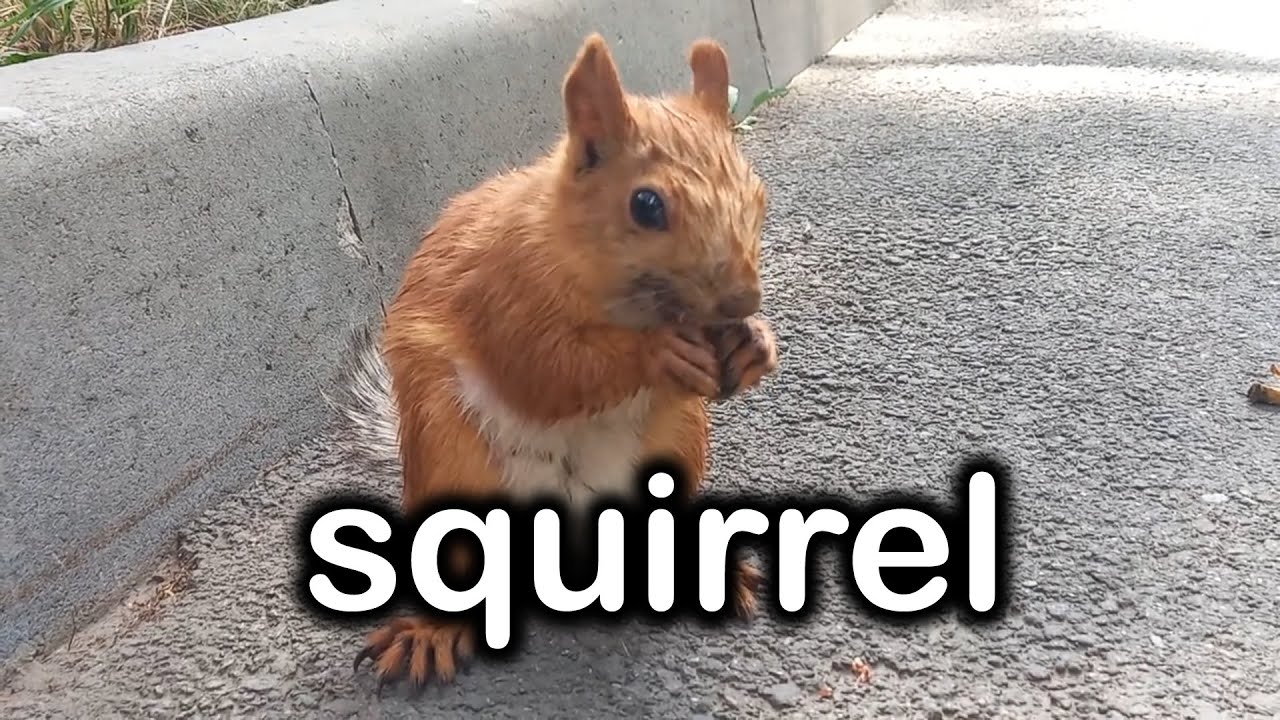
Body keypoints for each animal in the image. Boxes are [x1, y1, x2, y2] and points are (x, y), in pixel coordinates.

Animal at [324, 33, 780, 691]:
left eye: (758, 195)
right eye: (646, 204)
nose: (742, 301)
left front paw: (756, 345)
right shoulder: (501, 291)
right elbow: (545, 368)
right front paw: (657, 353)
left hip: (676, 444)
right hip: (449, 456)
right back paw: (431, 632)